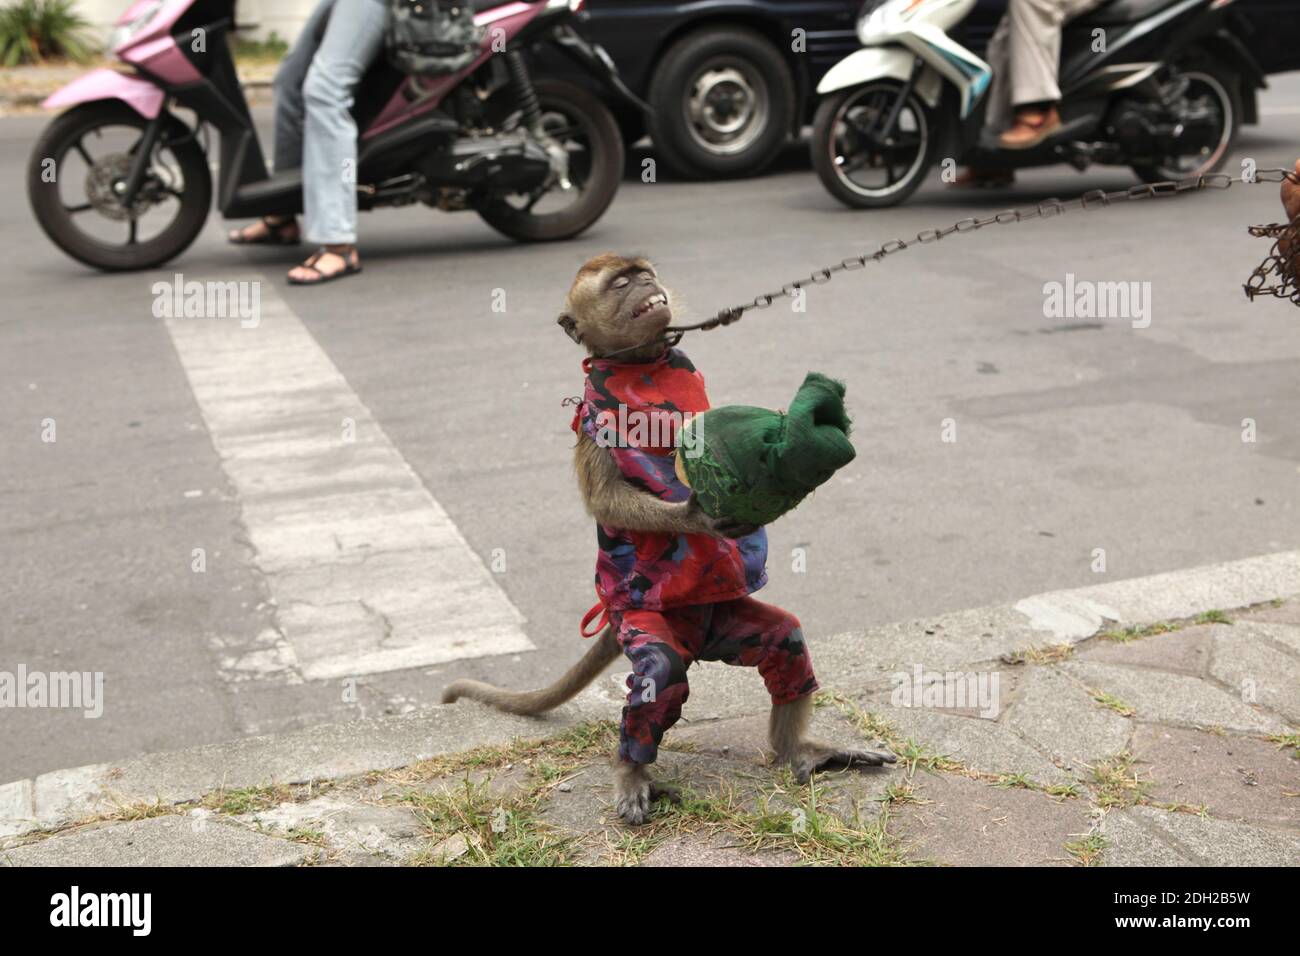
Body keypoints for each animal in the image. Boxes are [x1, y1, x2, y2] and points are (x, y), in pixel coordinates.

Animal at [443, 253, 895, 824]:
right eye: (619, 283)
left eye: (642, 272)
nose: (643, 282)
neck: (642, 366)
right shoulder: (591, 422)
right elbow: (609, 501)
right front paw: (698, 515)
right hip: (638, 621)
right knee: (660, 673)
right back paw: (632, 769)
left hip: (724, 622)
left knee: (784, 643)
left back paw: (798, 750)